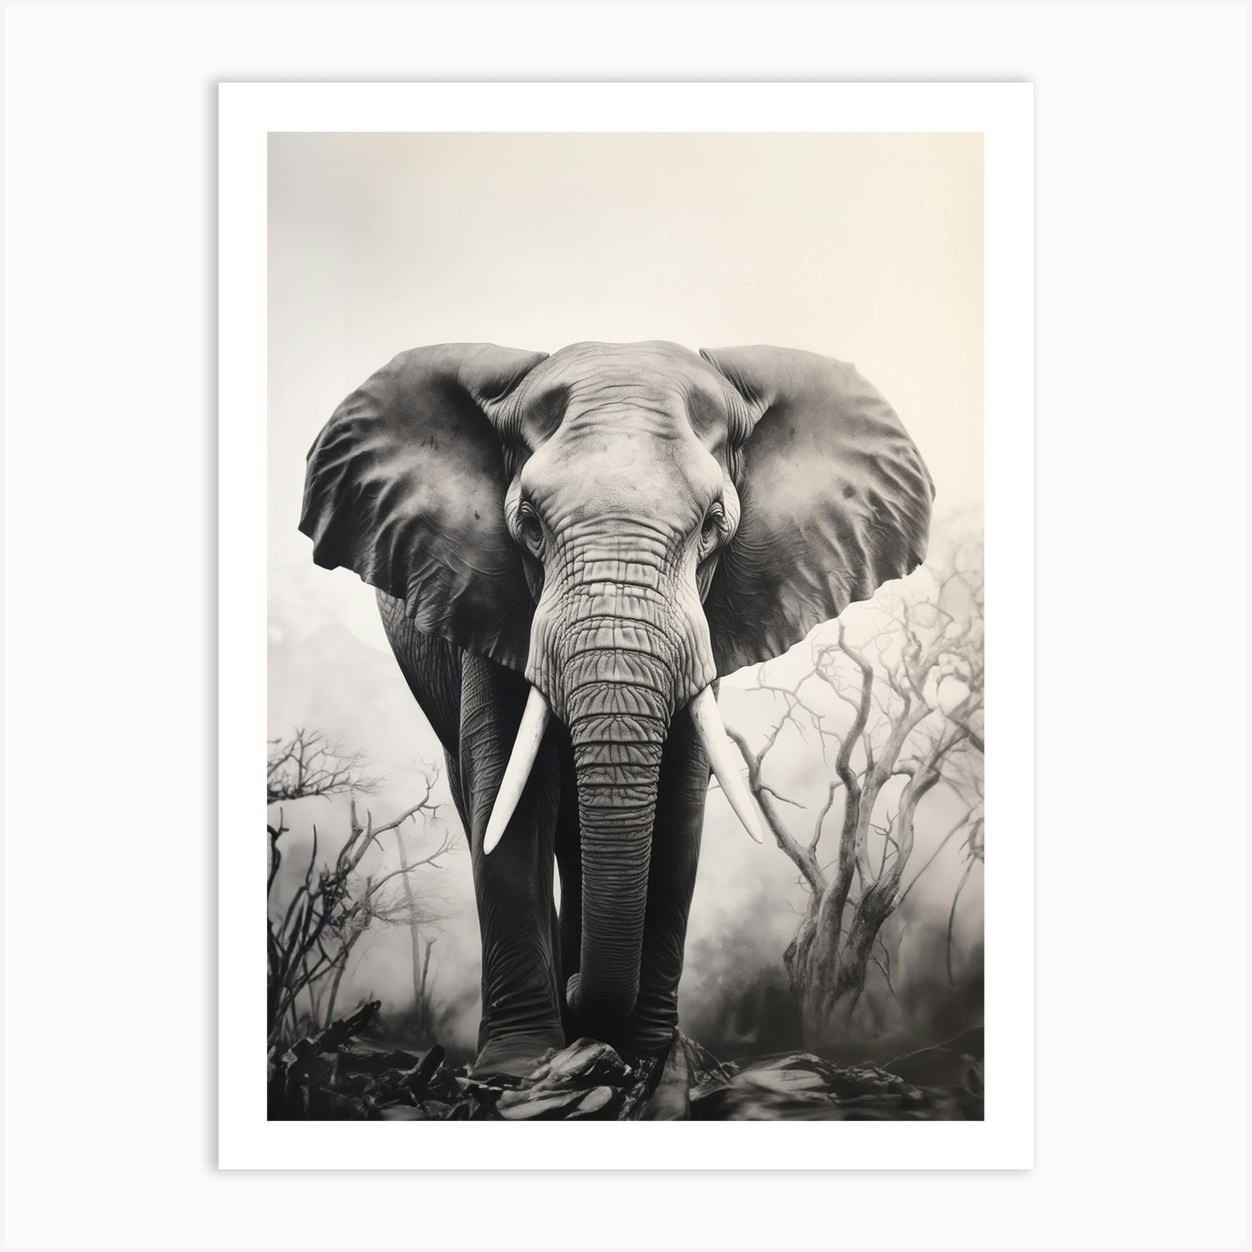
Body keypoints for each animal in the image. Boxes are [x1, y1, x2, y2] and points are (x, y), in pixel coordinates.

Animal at [299, 340, 933, 1076]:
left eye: (713, 526)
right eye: (528, 525)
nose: (578, 995)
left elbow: (679, 809)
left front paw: (651, 1056)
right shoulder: (485, 595)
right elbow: (508, 797)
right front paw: (517, 1065)